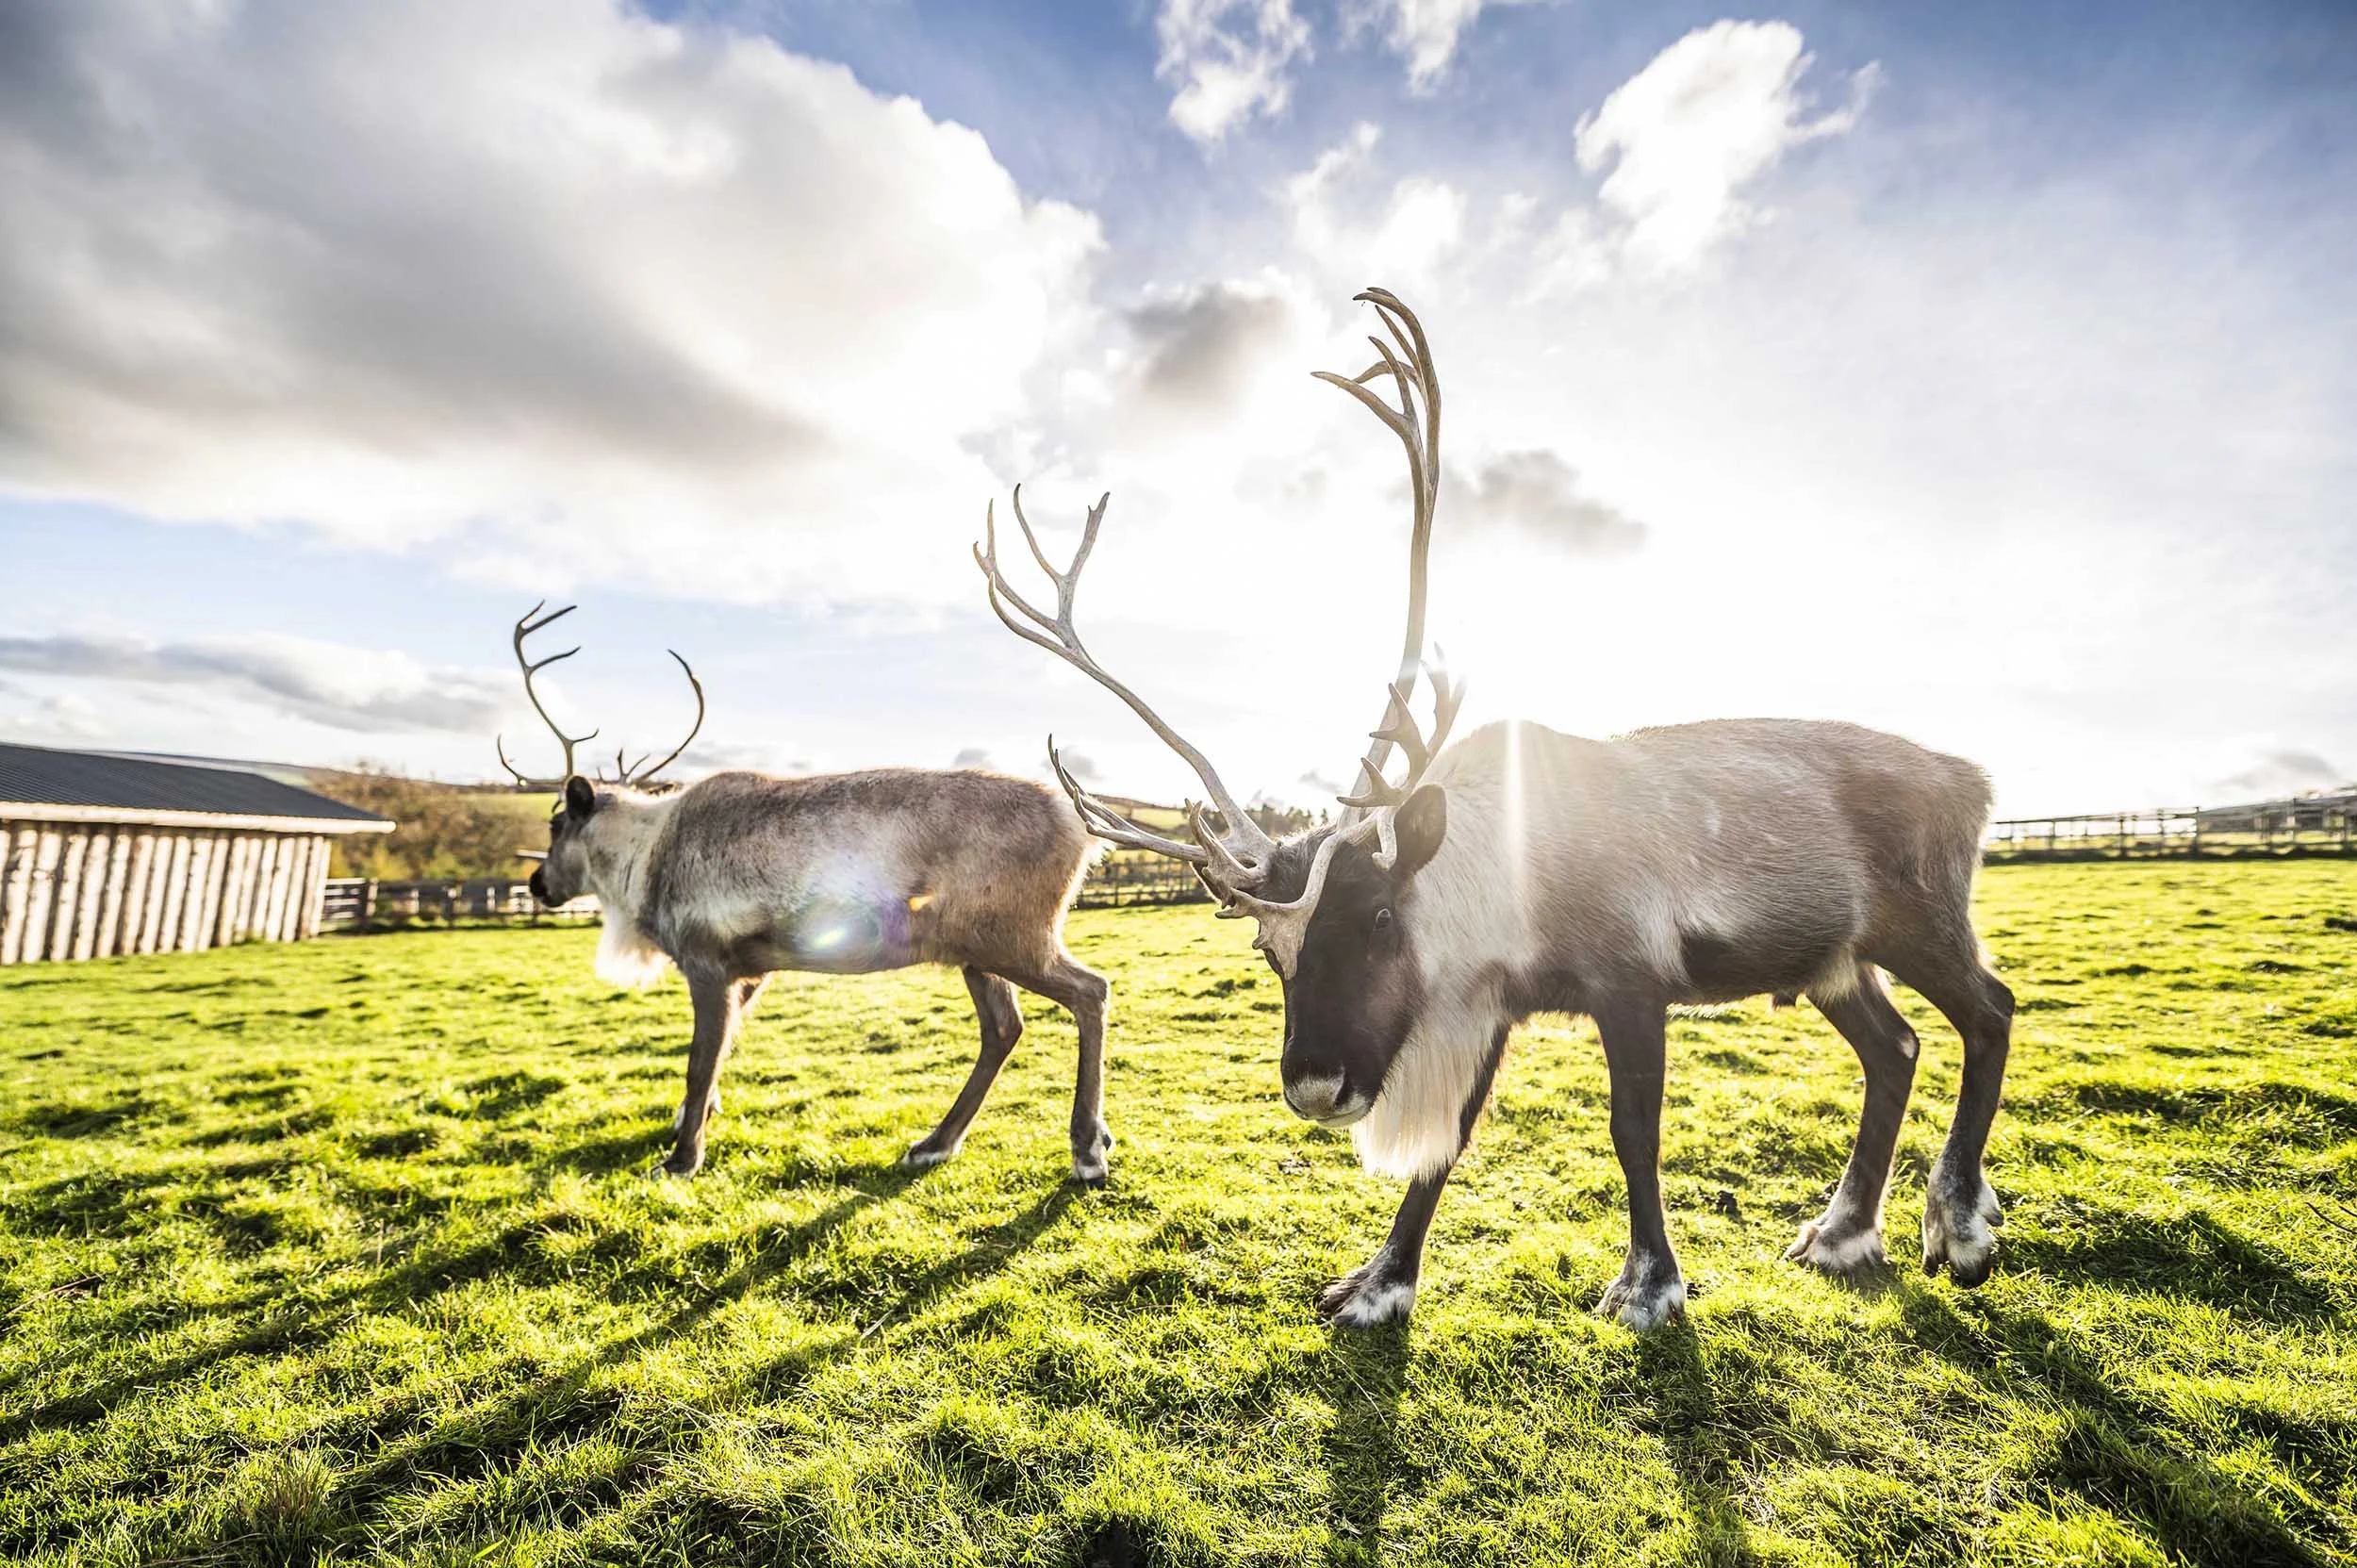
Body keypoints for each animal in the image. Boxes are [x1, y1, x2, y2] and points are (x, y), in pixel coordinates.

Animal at [501, 604, 1114, 1183]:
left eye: (556, 824)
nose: (537, 883)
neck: (644, 861)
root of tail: (1083, 828)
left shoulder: (705, 961)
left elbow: (699, 1062)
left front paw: (681, 1159)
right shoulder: (752, 970)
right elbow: (723, 1051)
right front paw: (688, 1122)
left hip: (1013, 938)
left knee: (1091, 990)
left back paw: (1086, 1148)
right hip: (974, 951)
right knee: (1003, 1027)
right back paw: (936, 1143)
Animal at [975, 288, 2013, 1329]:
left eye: (1380, 915)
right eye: (1268, 949)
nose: (1314, 1086)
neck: (1494, 879)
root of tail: (1972, 778)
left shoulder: (1630, 979)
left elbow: (1632, 1128)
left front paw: (1650, 1284)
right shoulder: (1485, 1003)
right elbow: (1451, 1140)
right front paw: (1378, 1282)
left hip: (1921, 919)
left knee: (1988, 1011)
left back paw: (1959, 1223)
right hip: (1835, 958)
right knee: (1896, 1048)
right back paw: (1842, 1231)